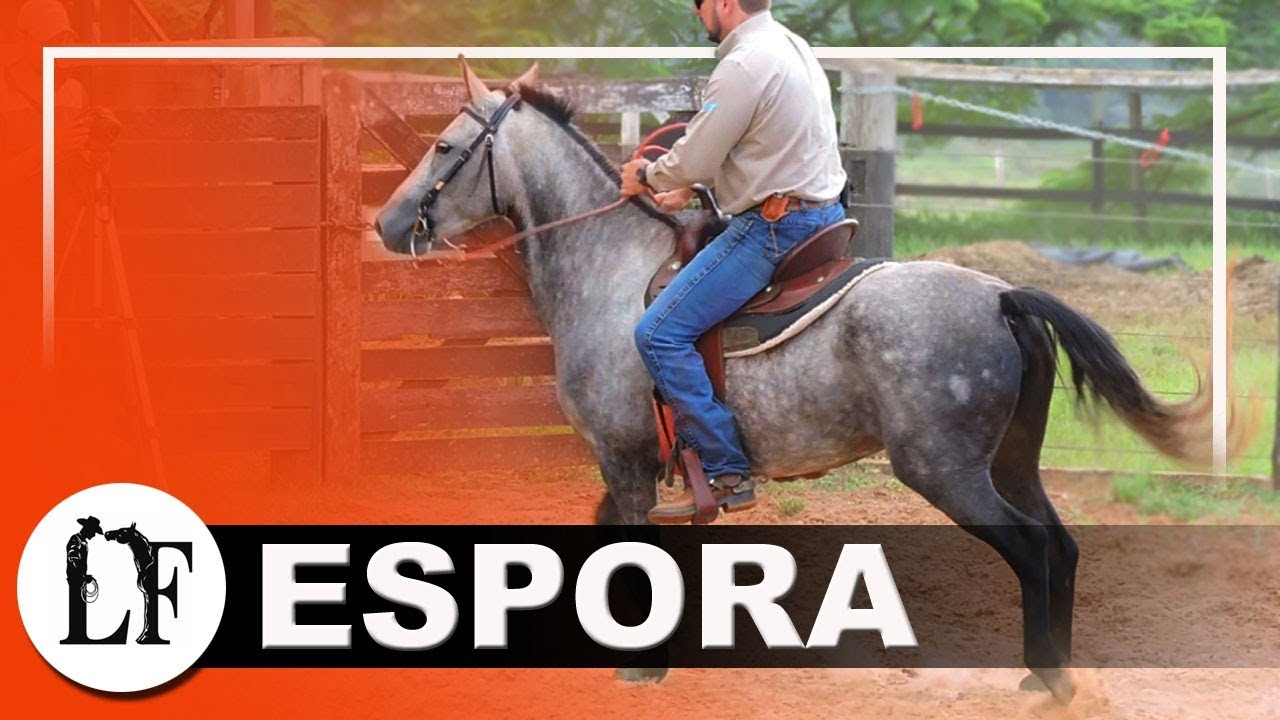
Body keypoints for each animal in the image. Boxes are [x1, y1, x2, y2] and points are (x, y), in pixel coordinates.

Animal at [374, 59, 1234, 704]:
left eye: (445, 146)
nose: (385, 223)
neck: (611, 269)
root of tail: (1000, 294)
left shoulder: (623, 458)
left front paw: (643, 666)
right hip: (1012, 461)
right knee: (1060, 543)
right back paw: (1042, 675)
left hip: (947, 471)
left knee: (1030, 547)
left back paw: (1050, 683)